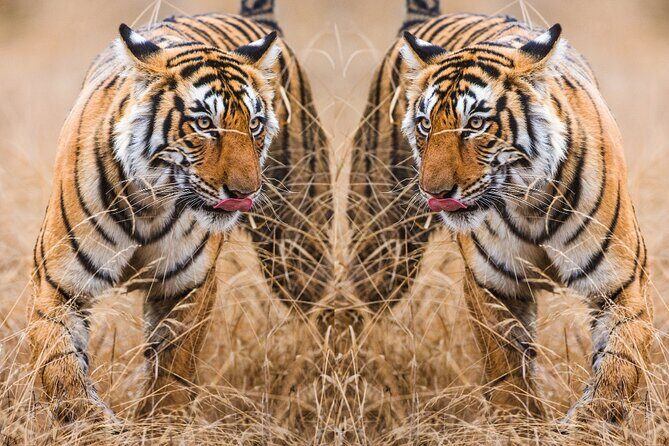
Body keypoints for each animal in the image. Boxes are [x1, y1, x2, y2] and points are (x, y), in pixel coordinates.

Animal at [28, 2, 329, 423]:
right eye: (204, 124)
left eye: (254, 124)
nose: (245, 193)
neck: (149, 204)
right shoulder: (59, 285)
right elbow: (62, 370)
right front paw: (98, 424)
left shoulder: (188, 285)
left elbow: (173, 371)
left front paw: (160, 425)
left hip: (298, 242)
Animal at [352, 1, 653, 423]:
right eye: (425, 124)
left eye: (476, 124)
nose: (434, 192)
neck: (530, 204)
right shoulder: (492, 285)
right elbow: (507, 370)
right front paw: (520, 425)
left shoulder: (621, 284)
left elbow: (617, 370)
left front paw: (582, 424)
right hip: (382, 240)